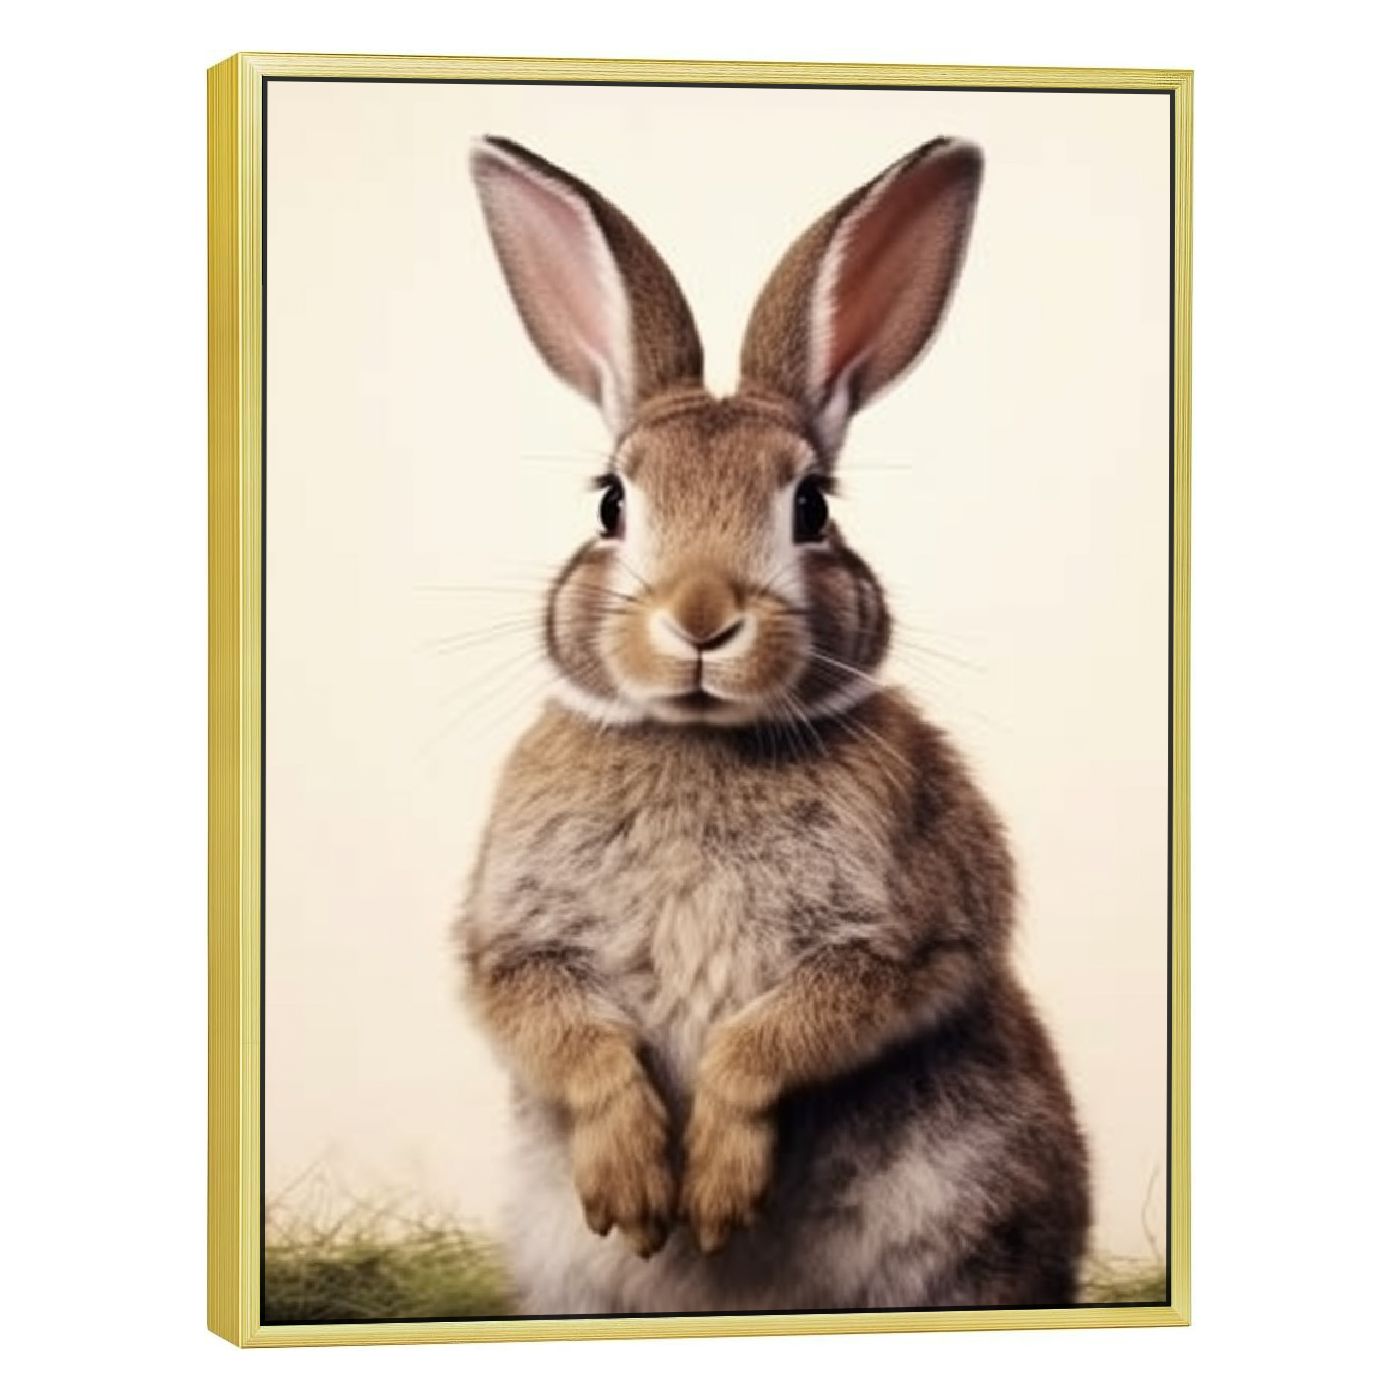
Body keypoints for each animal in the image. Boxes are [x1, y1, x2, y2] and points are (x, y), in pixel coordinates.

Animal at [456, 134, 1090, 1316]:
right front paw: (634, 1176)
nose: (702, 616)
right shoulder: (513, 938)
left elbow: (772, 1038)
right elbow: (564, 1029)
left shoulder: (908, 931)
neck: (699, 740)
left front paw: (712, 1184)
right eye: (611, 502)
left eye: (811, 507)